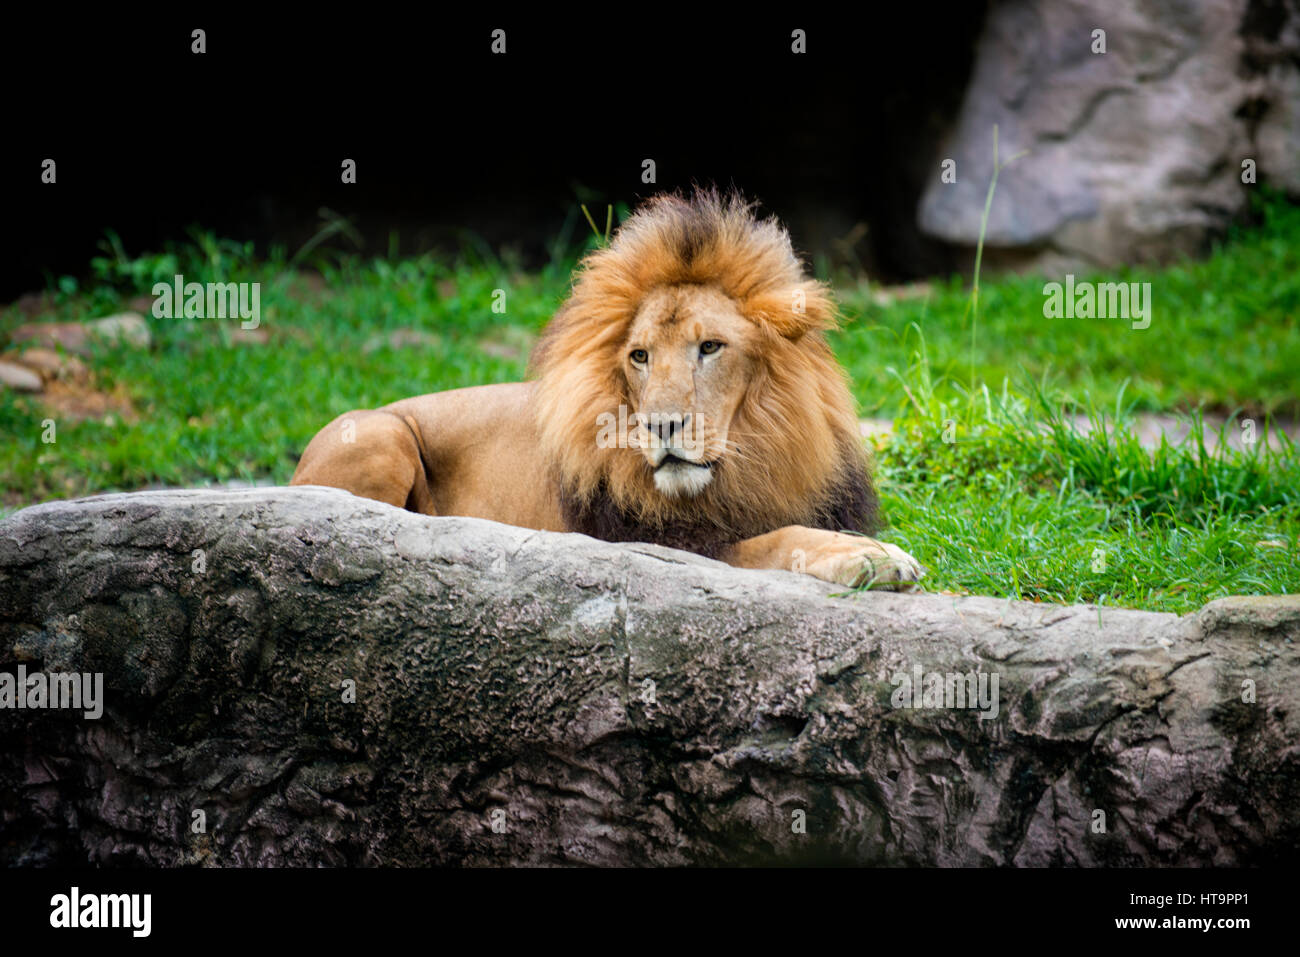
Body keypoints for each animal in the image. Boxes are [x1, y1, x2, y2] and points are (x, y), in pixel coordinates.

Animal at [291, 189, 923, 589]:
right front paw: (875, 559)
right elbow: (778, 539)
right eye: (639, 356)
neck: (753, 460)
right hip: (380, 435)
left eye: (710, 347)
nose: (661, 426)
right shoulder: (667, 544)